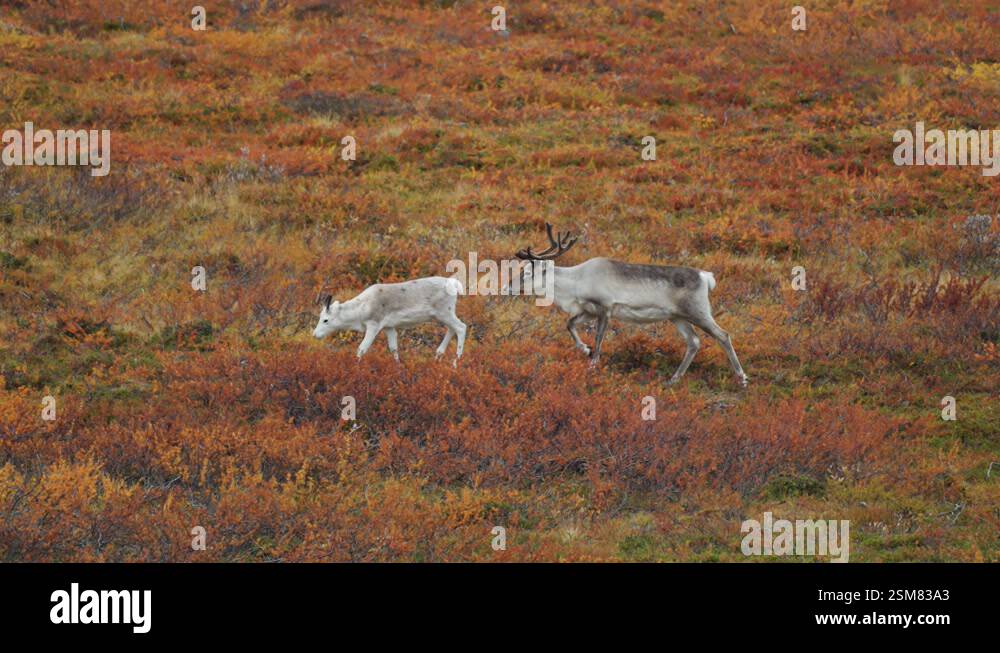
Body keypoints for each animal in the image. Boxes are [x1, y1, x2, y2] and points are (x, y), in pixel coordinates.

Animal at [312, 277, 467, 364]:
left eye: (325, 320)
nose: (314, 335)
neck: (361, 309)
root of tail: (455, 284)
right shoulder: (389, 327)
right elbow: (393, 348)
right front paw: (398, 367)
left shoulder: (374, 325)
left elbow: (362, 348)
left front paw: (355, 366)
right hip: (443, 315)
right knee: (452, 329)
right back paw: (437, 356)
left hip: (444, 312)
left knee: (461, 327)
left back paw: (456, 362)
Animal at [510, 223, 748, 387]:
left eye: (528, 272)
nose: (508, 286)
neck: (575, 283)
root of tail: (705, 277)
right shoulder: (588, 310)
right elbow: (569, 324)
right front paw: (584, 349)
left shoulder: (605, 308)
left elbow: (599, 339)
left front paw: (592, 365)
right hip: (677, 317)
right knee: (694, 342)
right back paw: (673, 379)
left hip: (697, 311)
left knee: (722, 335)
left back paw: (742, 378)